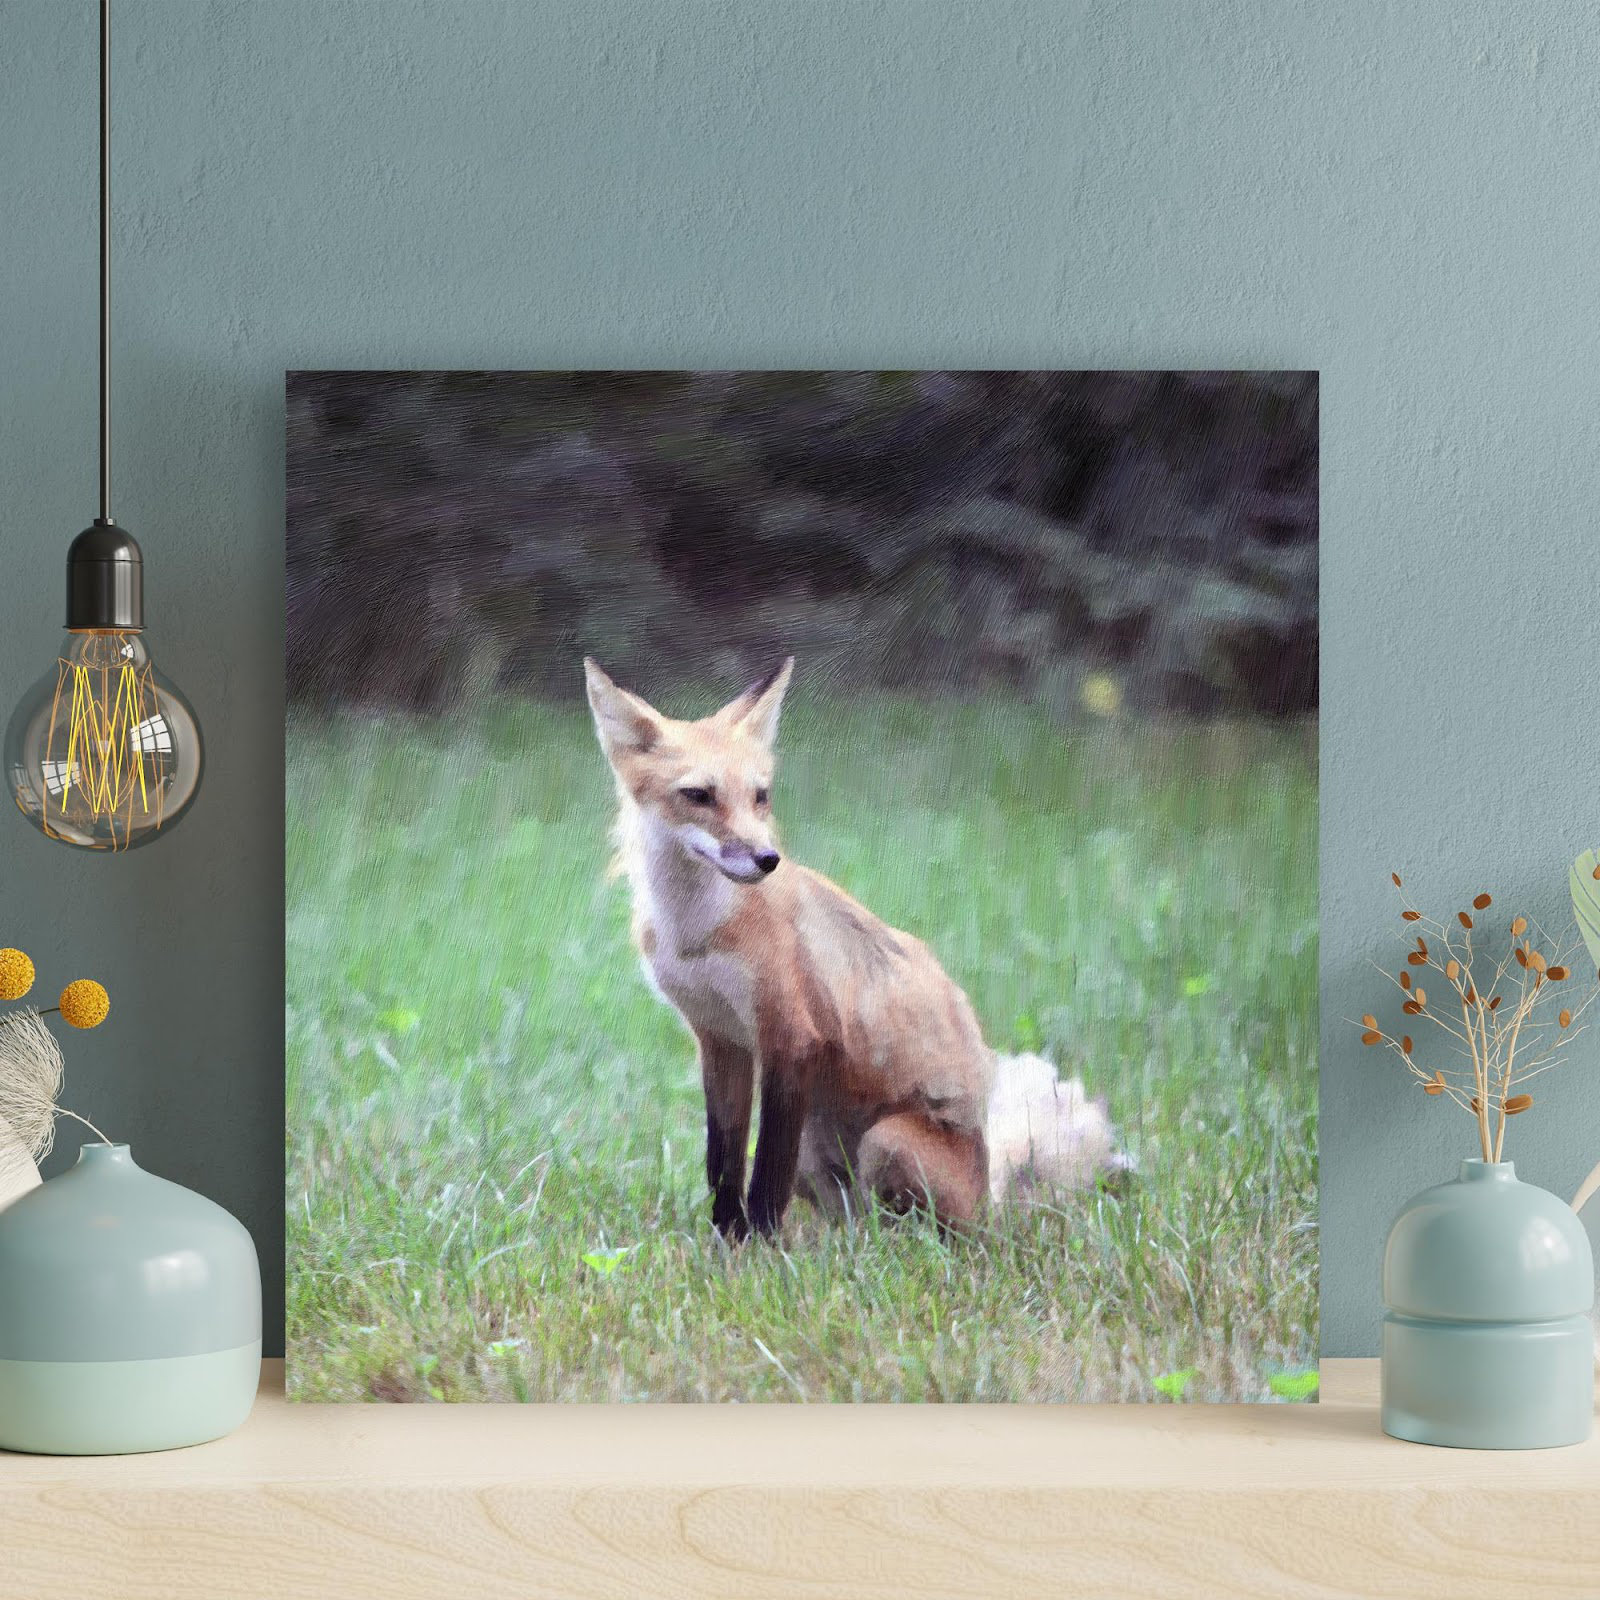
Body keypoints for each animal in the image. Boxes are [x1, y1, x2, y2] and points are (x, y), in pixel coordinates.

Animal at [584, 655, 1128, 1239]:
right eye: (700, 796)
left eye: (760, 796)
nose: (767, 859)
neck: (697, 934)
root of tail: (993, 1201)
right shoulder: (720, 1040)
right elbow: (723, 1164)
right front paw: (725, 1240)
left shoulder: (791, 1038)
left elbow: (765, 1176)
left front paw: (761, 1248)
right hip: (819, 1153)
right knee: (852, 1219)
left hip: (884, 1142)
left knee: (922, 1231)